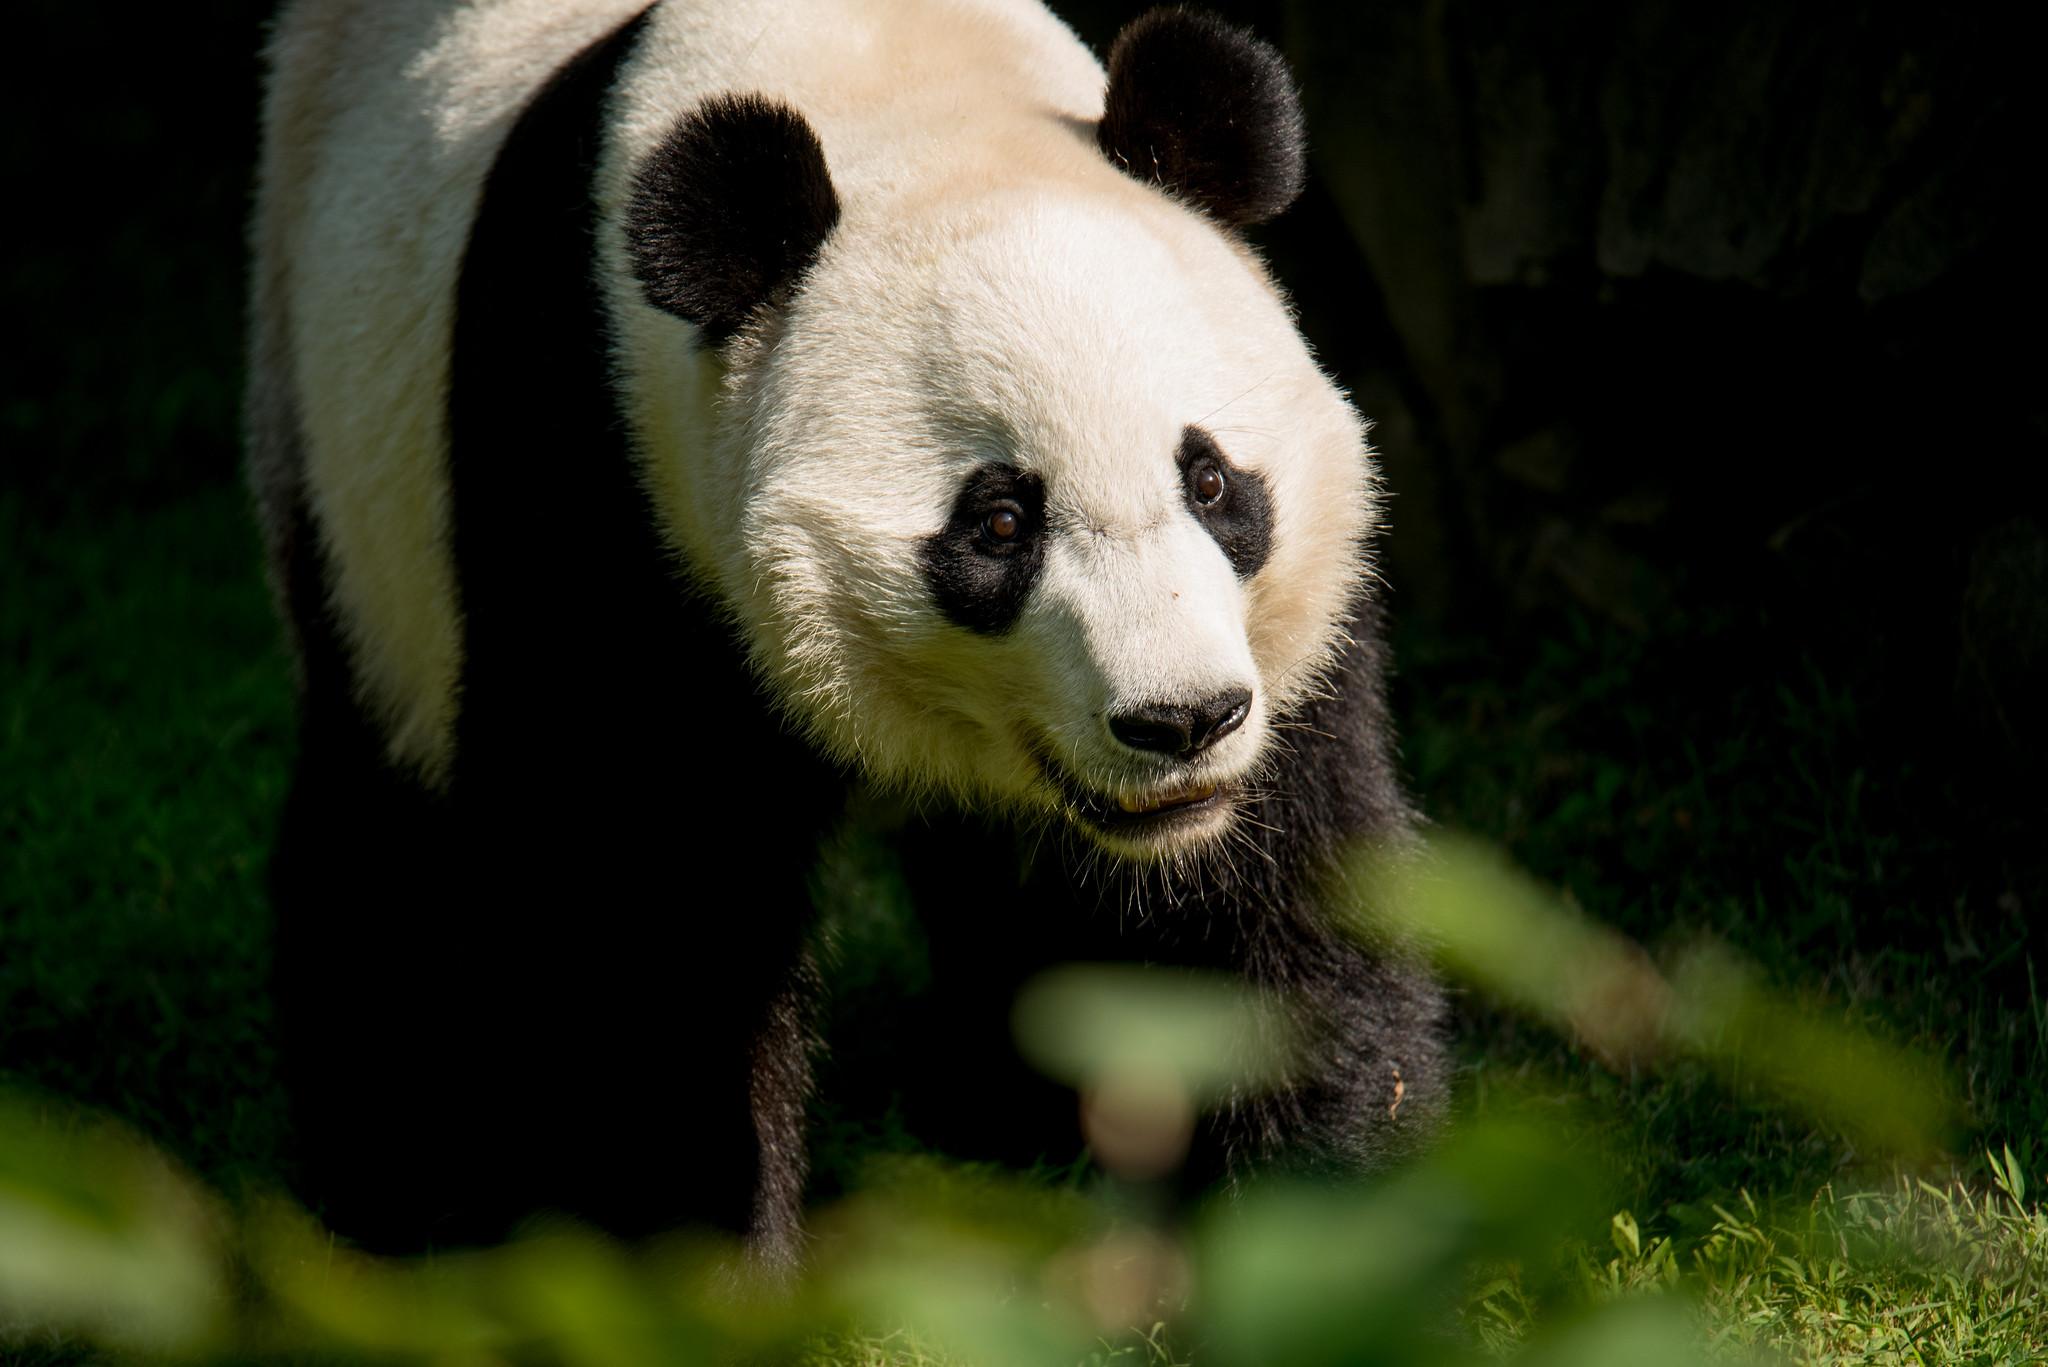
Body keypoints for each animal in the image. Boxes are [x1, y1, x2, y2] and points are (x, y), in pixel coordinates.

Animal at [248, 0, 1447, 1261]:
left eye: (1210, 482)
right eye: (997, 523)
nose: (1180, 722)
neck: (890, 75)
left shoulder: (1273, 658)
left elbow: (1281, 913)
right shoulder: (598, 479)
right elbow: (635, 939)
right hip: (341, 462)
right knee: (384, 847)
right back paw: (399, 1187)